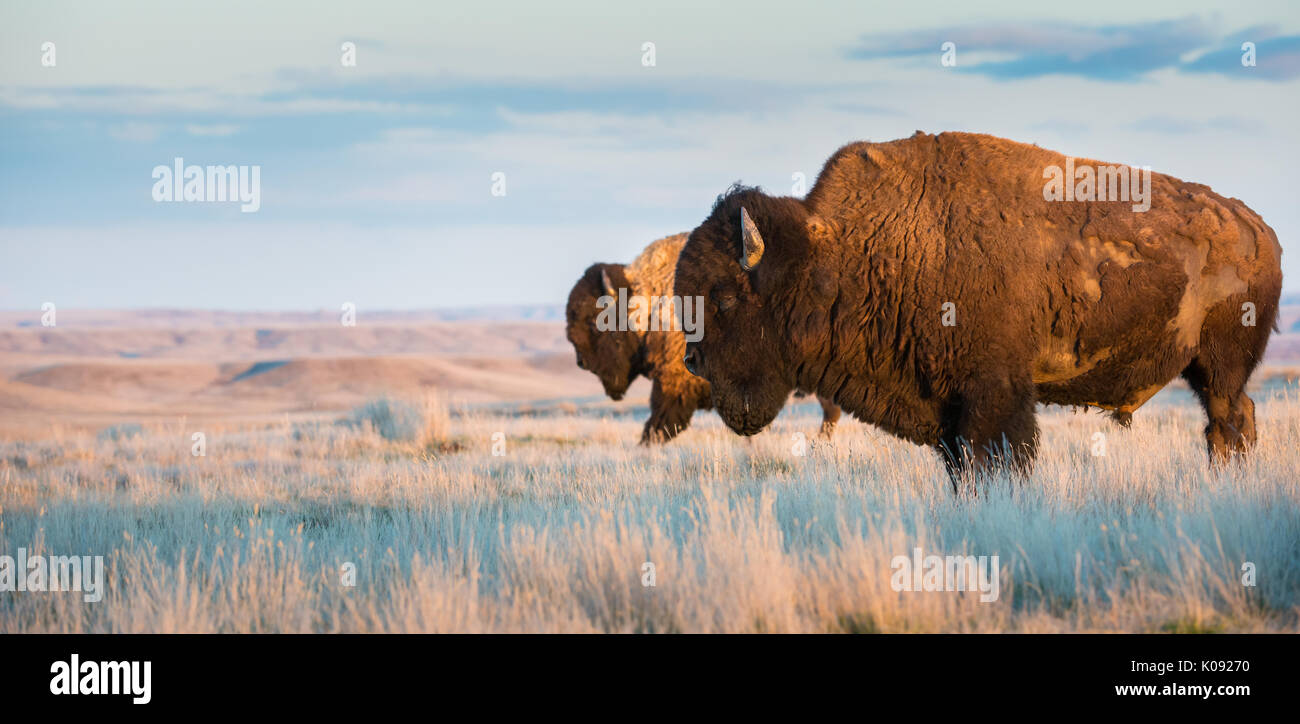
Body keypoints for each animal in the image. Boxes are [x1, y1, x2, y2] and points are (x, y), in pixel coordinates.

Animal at [674, 131, 1282, 482]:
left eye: (724, 296)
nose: (692, 363)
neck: (837, 254)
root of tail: (1259, 228)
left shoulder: (994, 395)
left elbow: (1000, 458)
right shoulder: (947, 407)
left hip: (1220, 365)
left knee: (1228, 422)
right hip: (1211, 370)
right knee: (1233, 420)